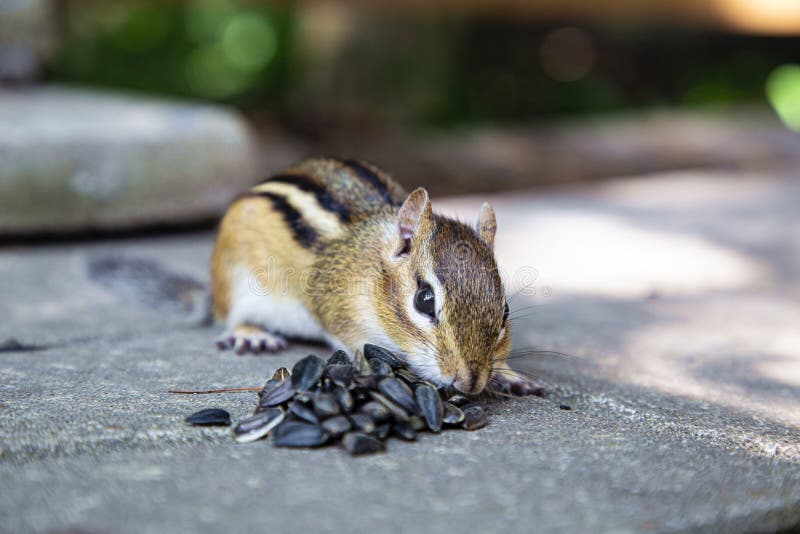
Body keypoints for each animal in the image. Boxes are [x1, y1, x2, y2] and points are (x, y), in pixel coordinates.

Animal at [211, 158, 542, 396]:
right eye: (424, 301)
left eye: (505, 312)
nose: (469, 383)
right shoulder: (339, 313)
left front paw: (511, 375)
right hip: (236, 281)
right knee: (232, 316)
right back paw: (251, 334)